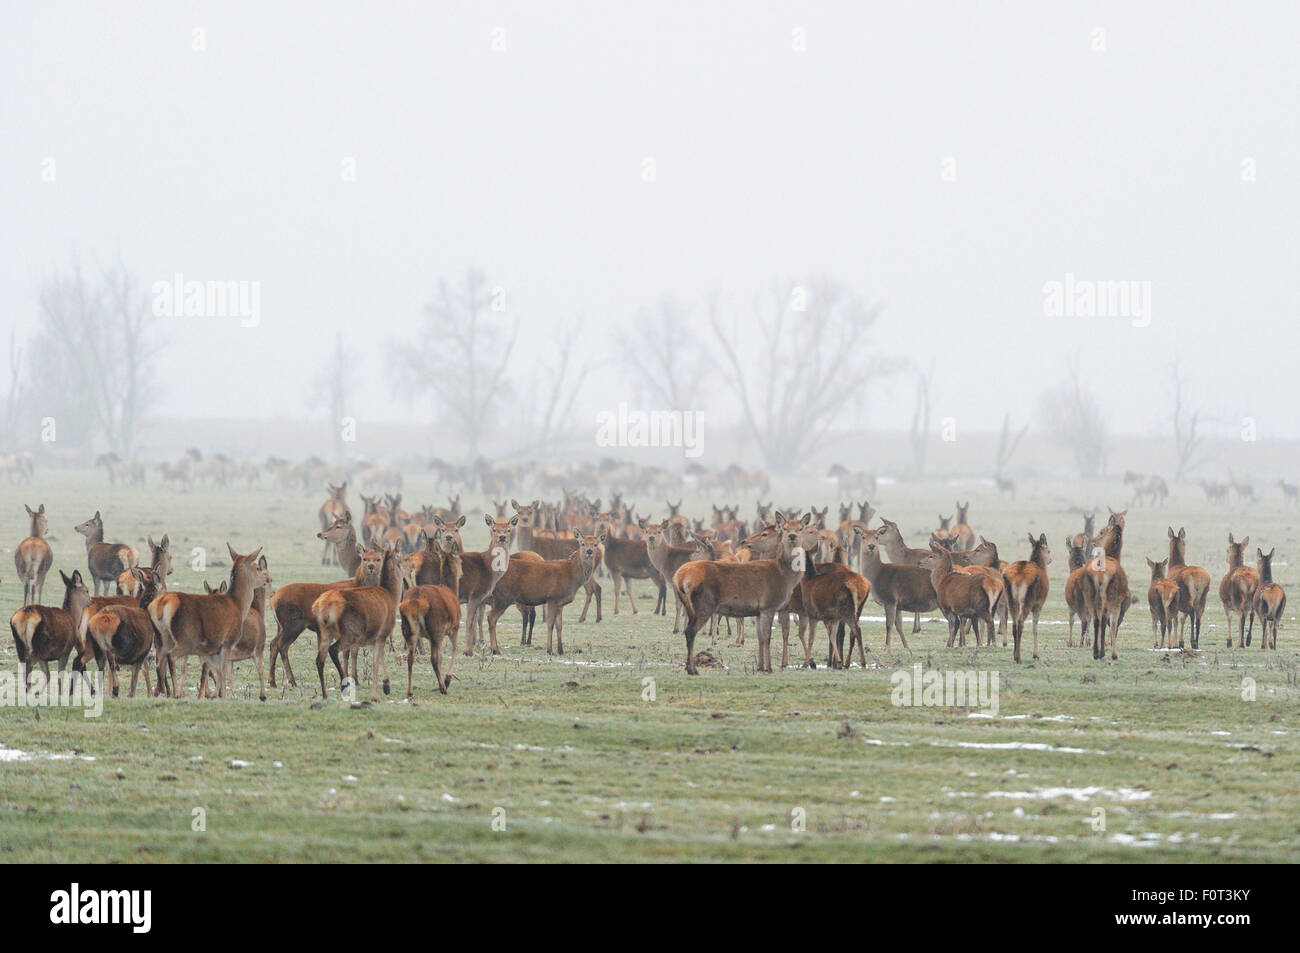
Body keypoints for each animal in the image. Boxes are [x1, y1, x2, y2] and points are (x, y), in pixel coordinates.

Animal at [310, 544, 413, 701]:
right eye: (404, 558)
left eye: (378, 559)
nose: (412, 566)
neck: (391, 596)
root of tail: (322, 606)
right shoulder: (383, 631)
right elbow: (375, 663)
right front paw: (375, 695)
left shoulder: (377, 636)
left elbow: (381, 657)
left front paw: (386, 686)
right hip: (351, 631)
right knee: (333, 650)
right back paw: (344, 684)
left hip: (324, 631)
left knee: (319, 659)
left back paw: (325, 694)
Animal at [673, 512, 817, 674]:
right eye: (785, 528)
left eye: (800, 528)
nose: (792, 536)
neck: (784, 576)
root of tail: (679, 576)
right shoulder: (768, 605)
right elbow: (767, 637)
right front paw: (769, 668)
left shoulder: (759, 611)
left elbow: (760, 637)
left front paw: (760, 666)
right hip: (704, 604)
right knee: (690, 631)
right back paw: (692, 669)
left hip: (689, 605)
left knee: (688, 630)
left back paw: (689, 666)